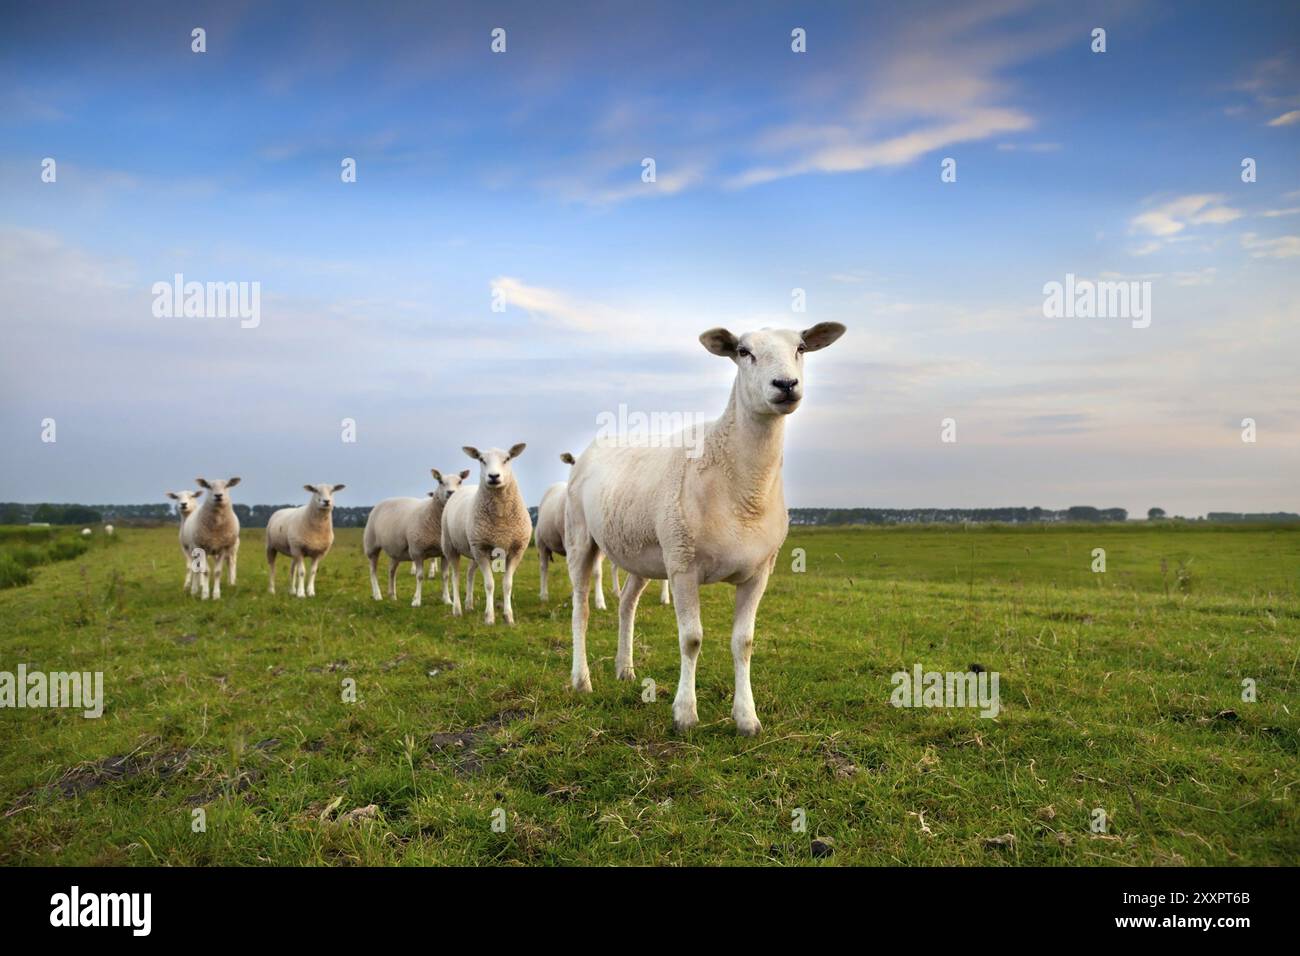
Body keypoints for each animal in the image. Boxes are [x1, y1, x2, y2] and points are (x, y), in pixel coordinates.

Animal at [363, 469, 469, 606]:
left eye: (460, 481)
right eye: (440, 481)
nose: (451, 492)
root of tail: (382, 502)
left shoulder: (444, 553)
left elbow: (445, 576)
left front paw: (447, 600)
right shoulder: (417, 551)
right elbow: (419, 576)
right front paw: (416, 601)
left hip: (396, 552)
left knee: (391, 571)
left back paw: (392, 596)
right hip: (371, 545)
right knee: (373, 571)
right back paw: (377, 595)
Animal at [441, 444, 531, 625]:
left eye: (507, 459)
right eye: (481, 459)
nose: (493, 476)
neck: (501, 518)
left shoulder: (516, 551)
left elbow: (507, 584)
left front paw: (508, 617)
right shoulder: (481, 550)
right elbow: (489, 584)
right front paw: (489, 617)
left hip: (473, 548)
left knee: (469, 573)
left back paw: (469, 605)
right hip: (451, 546)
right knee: (455, 576)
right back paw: (457, 609)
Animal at [564, 322, 845, 735]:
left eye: (801, 347)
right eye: (744, 351)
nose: (786, 384)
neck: (743, 490)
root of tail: (595, 444)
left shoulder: (759, 572)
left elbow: (744, 642)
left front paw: (747, 718)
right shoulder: (683, 565)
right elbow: (691, 639)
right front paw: (685, 714)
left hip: (642, 551)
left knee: (627, 603)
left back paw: (624, 669)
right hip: (581, 538)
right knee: (581, 609)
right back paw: (581, 680)